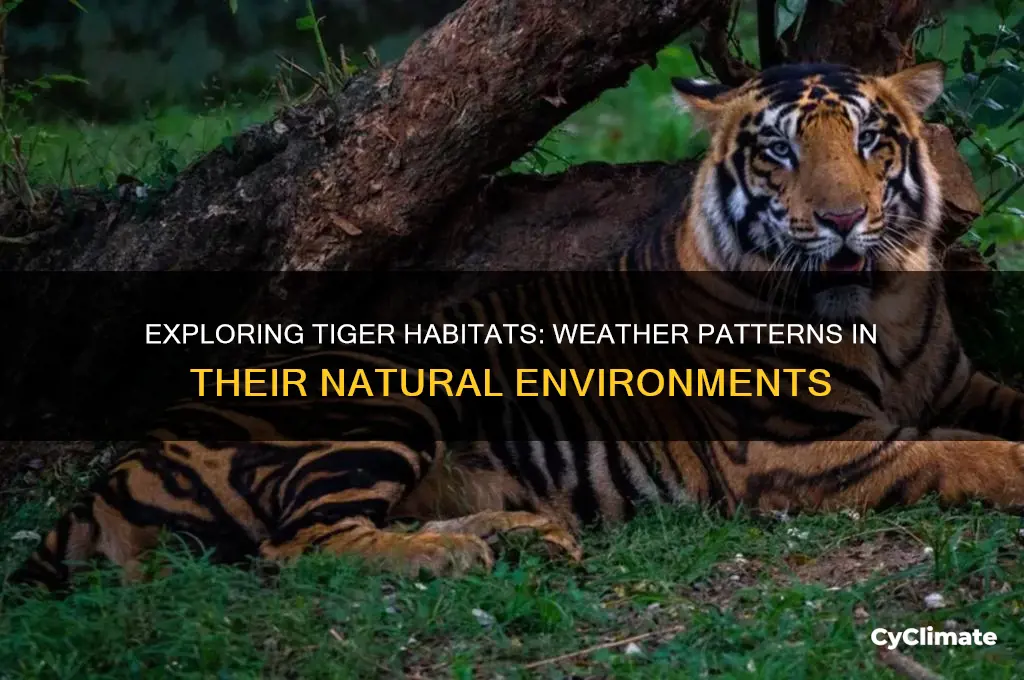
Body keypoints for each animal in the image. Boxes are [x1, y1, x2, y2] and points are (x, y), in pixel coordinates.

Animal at [11, 60, 1024, 591]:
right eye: (778, 151)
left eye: (871, 142)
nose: (846, 220)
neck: (881, 307)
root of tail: (110, 477)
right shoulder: (797, 447)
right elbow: (960, 456)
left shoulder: (961, 381)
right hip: (386, 396)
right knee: (297, 547)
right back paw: (474, 548)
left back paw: (521, 534)